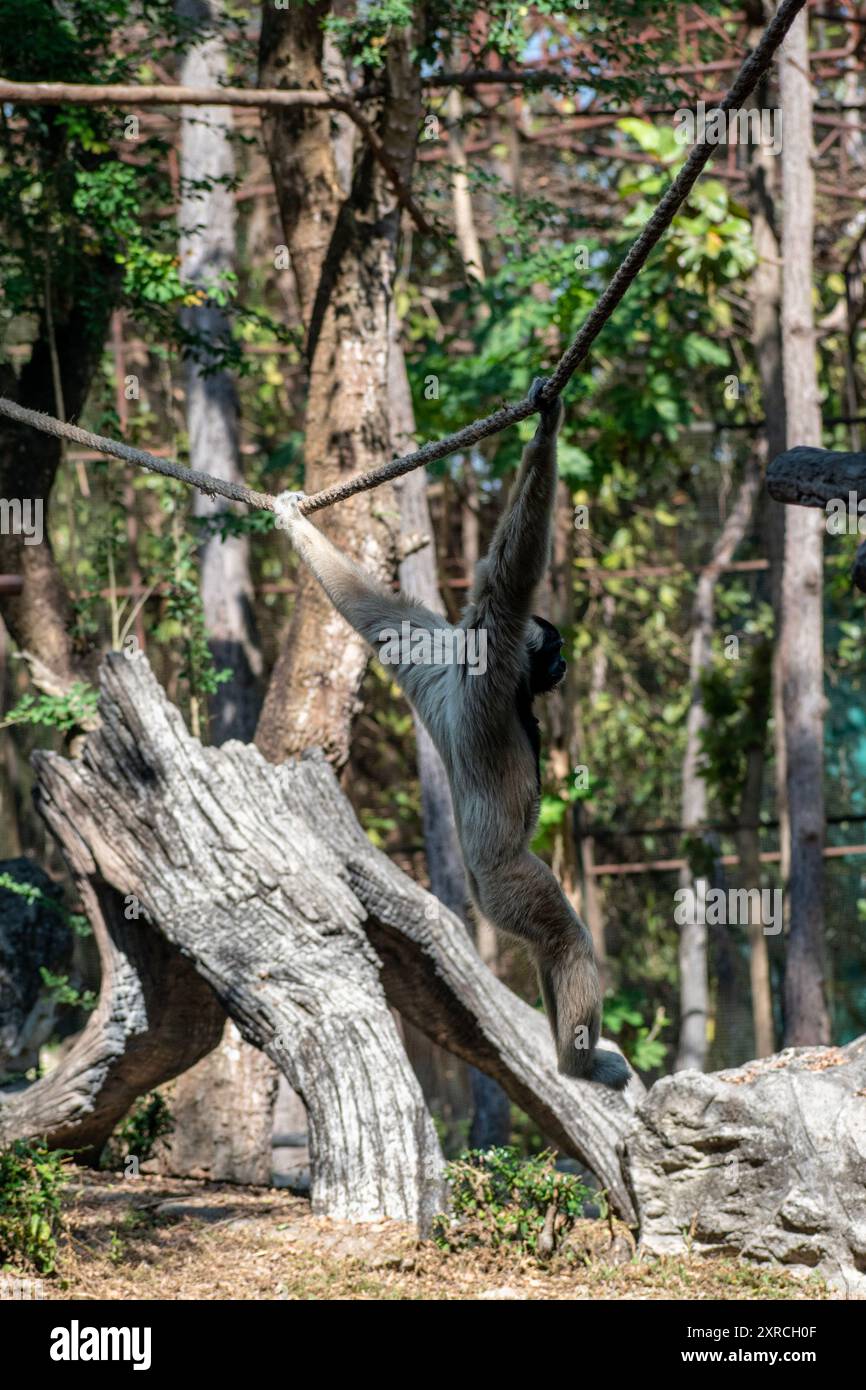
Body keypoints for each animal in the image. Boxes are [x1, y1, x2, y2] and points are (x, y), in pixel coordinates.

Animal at [275, 378, 629, 1089]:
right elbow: (510, 574)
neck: (495, 678)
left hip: (492, 898)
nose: (564, 663)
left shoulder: (436, 658)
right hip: (509, 884)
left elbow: (383, 618)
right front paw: (545, 422)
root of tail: (476, 883)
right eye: (554, 649)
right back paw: (578, 1065)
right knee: (563, 939)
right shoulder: (491, 645)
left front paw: (293, 523)